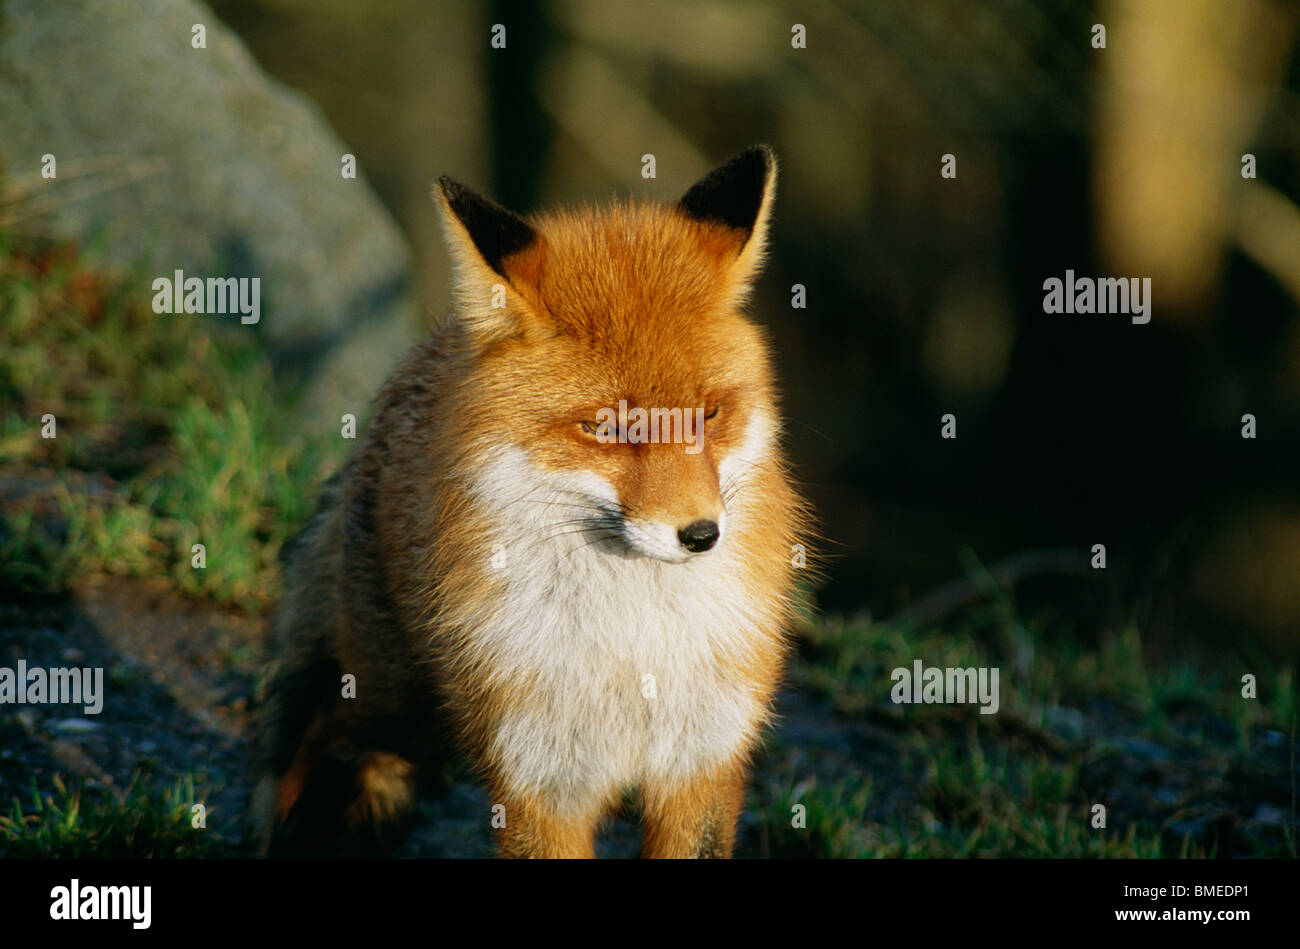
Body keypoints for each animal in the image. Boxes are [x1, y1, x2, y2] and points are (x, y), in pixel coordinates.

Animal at [250, 145, 810, 858]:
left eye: (709, 414)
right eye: (604, 428)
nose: (701, 535)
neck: (635, 647)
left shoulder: (703, 761)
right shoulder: (538, 776)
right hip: (391, 695)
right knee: (322, 724)